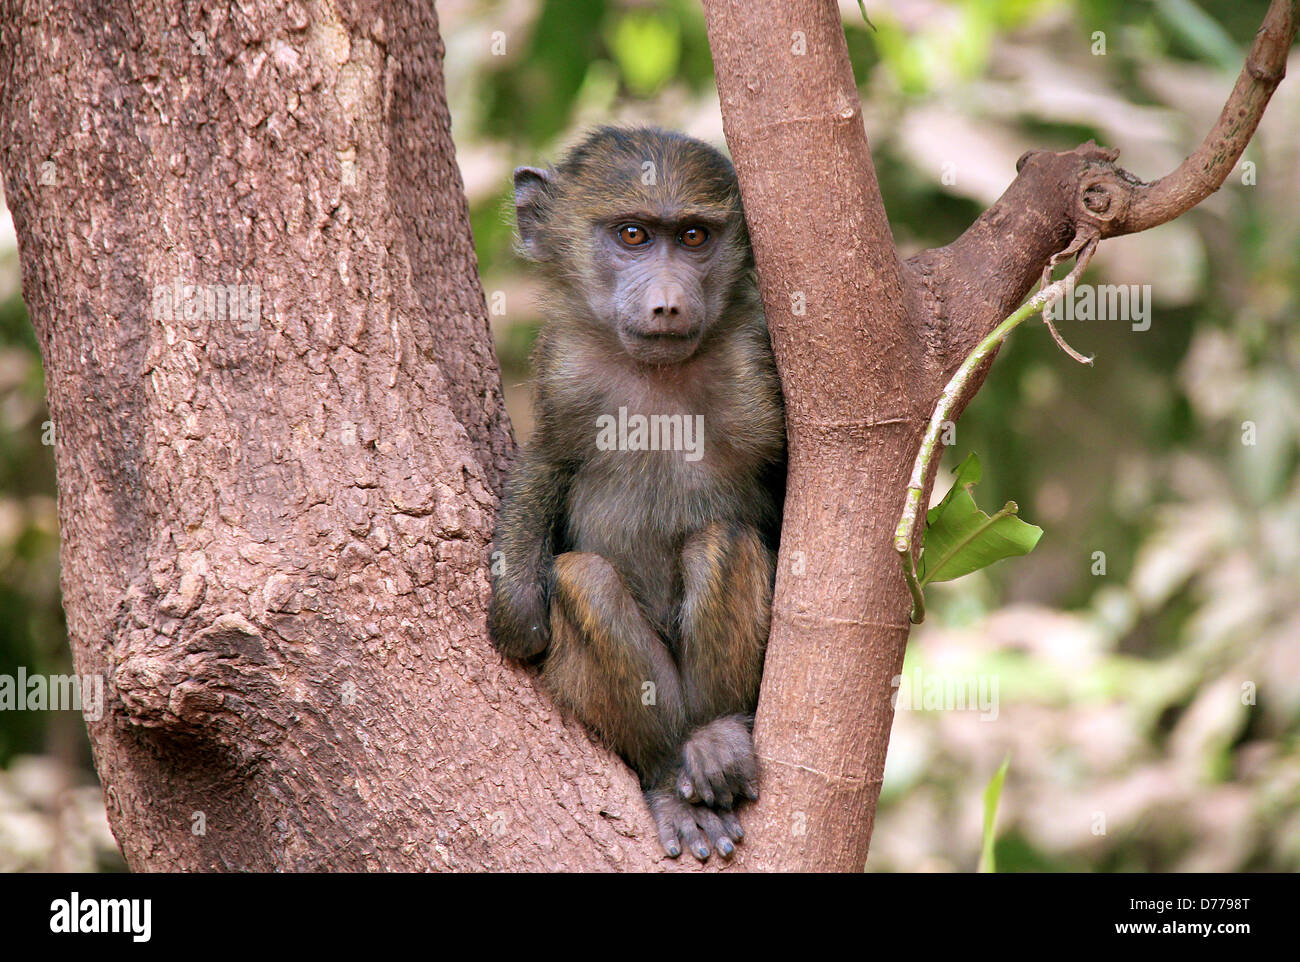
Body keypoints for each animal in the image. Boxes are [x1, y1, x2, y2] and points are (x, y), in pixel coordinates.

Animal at [488, 126, 785, 860]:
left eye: (694, 237)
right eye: (632, 235)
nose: (668, 304)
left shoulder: (755, 360)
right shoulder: (563, 365)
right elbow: (550, 460)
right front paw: (515, 613)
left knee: (722, 541)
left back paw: (717, 736)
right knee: (585, 582)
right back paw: (667, 775)